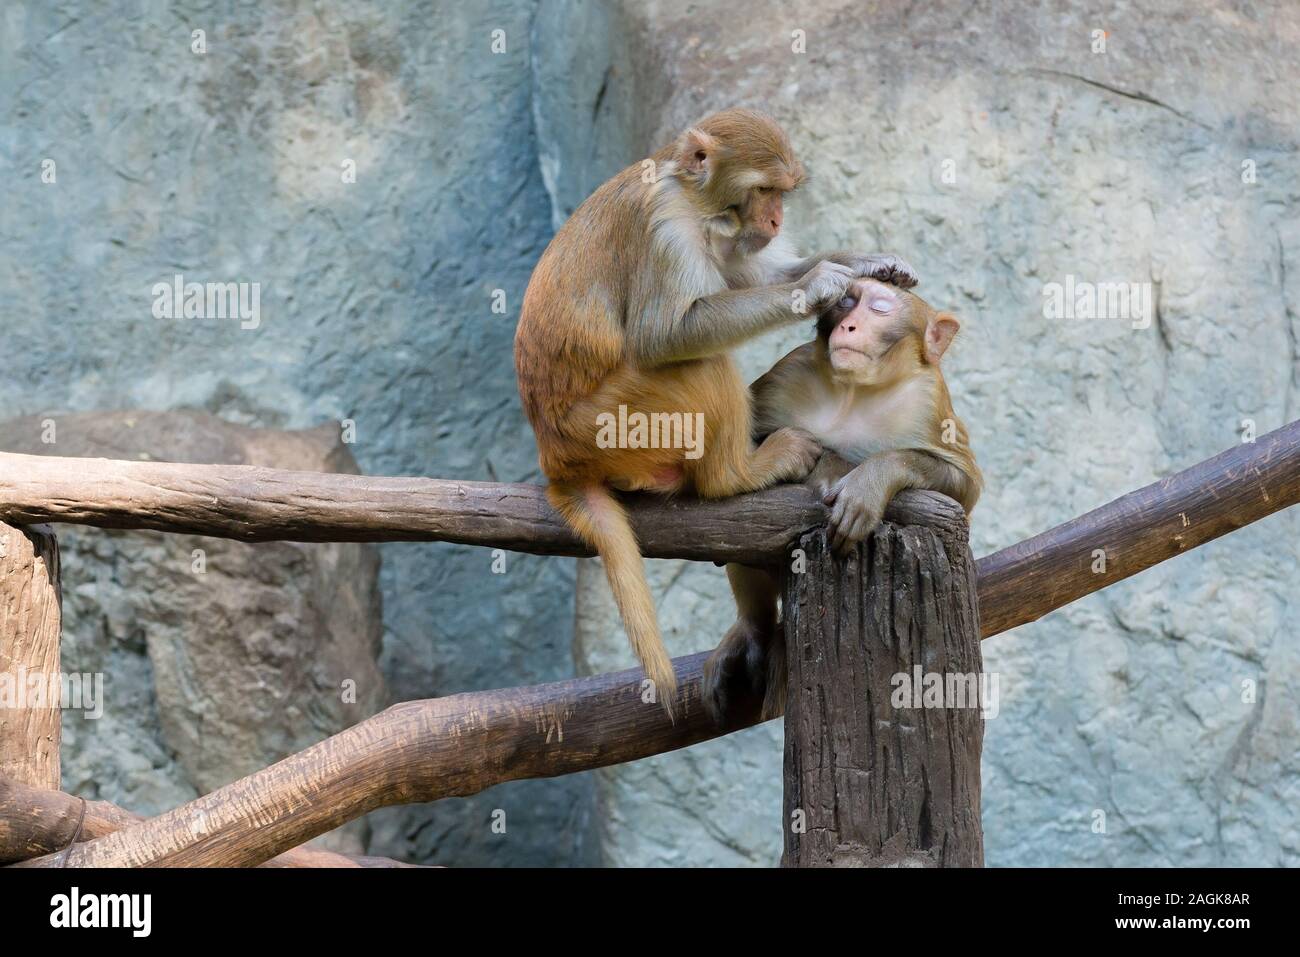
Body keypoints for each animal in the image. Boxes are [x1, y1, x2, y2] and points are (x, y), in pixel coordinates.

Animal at [514, 108, 918, 717]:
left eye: (782, 193)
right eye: (764, 190)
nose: (775, 218)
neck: (693, 197)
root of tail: (555, 457)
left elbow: (753, 277)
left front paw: (863, 261)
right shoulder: (666, 227)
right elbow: (666, 333)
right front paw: (821, 280)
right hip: (614, 422)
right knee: (699, 361)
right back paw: (739, 474)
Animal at [701, 277, 982, 722]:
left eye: (880, 307)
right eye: (847, 300)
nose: (849, 325)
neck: (855, 391)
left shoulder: (928, 400)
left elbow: (961, 488)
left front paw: (866, 483)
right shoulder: (790, 371)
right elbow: (733, 461)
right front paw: (826, 462)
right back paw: (754, 630)